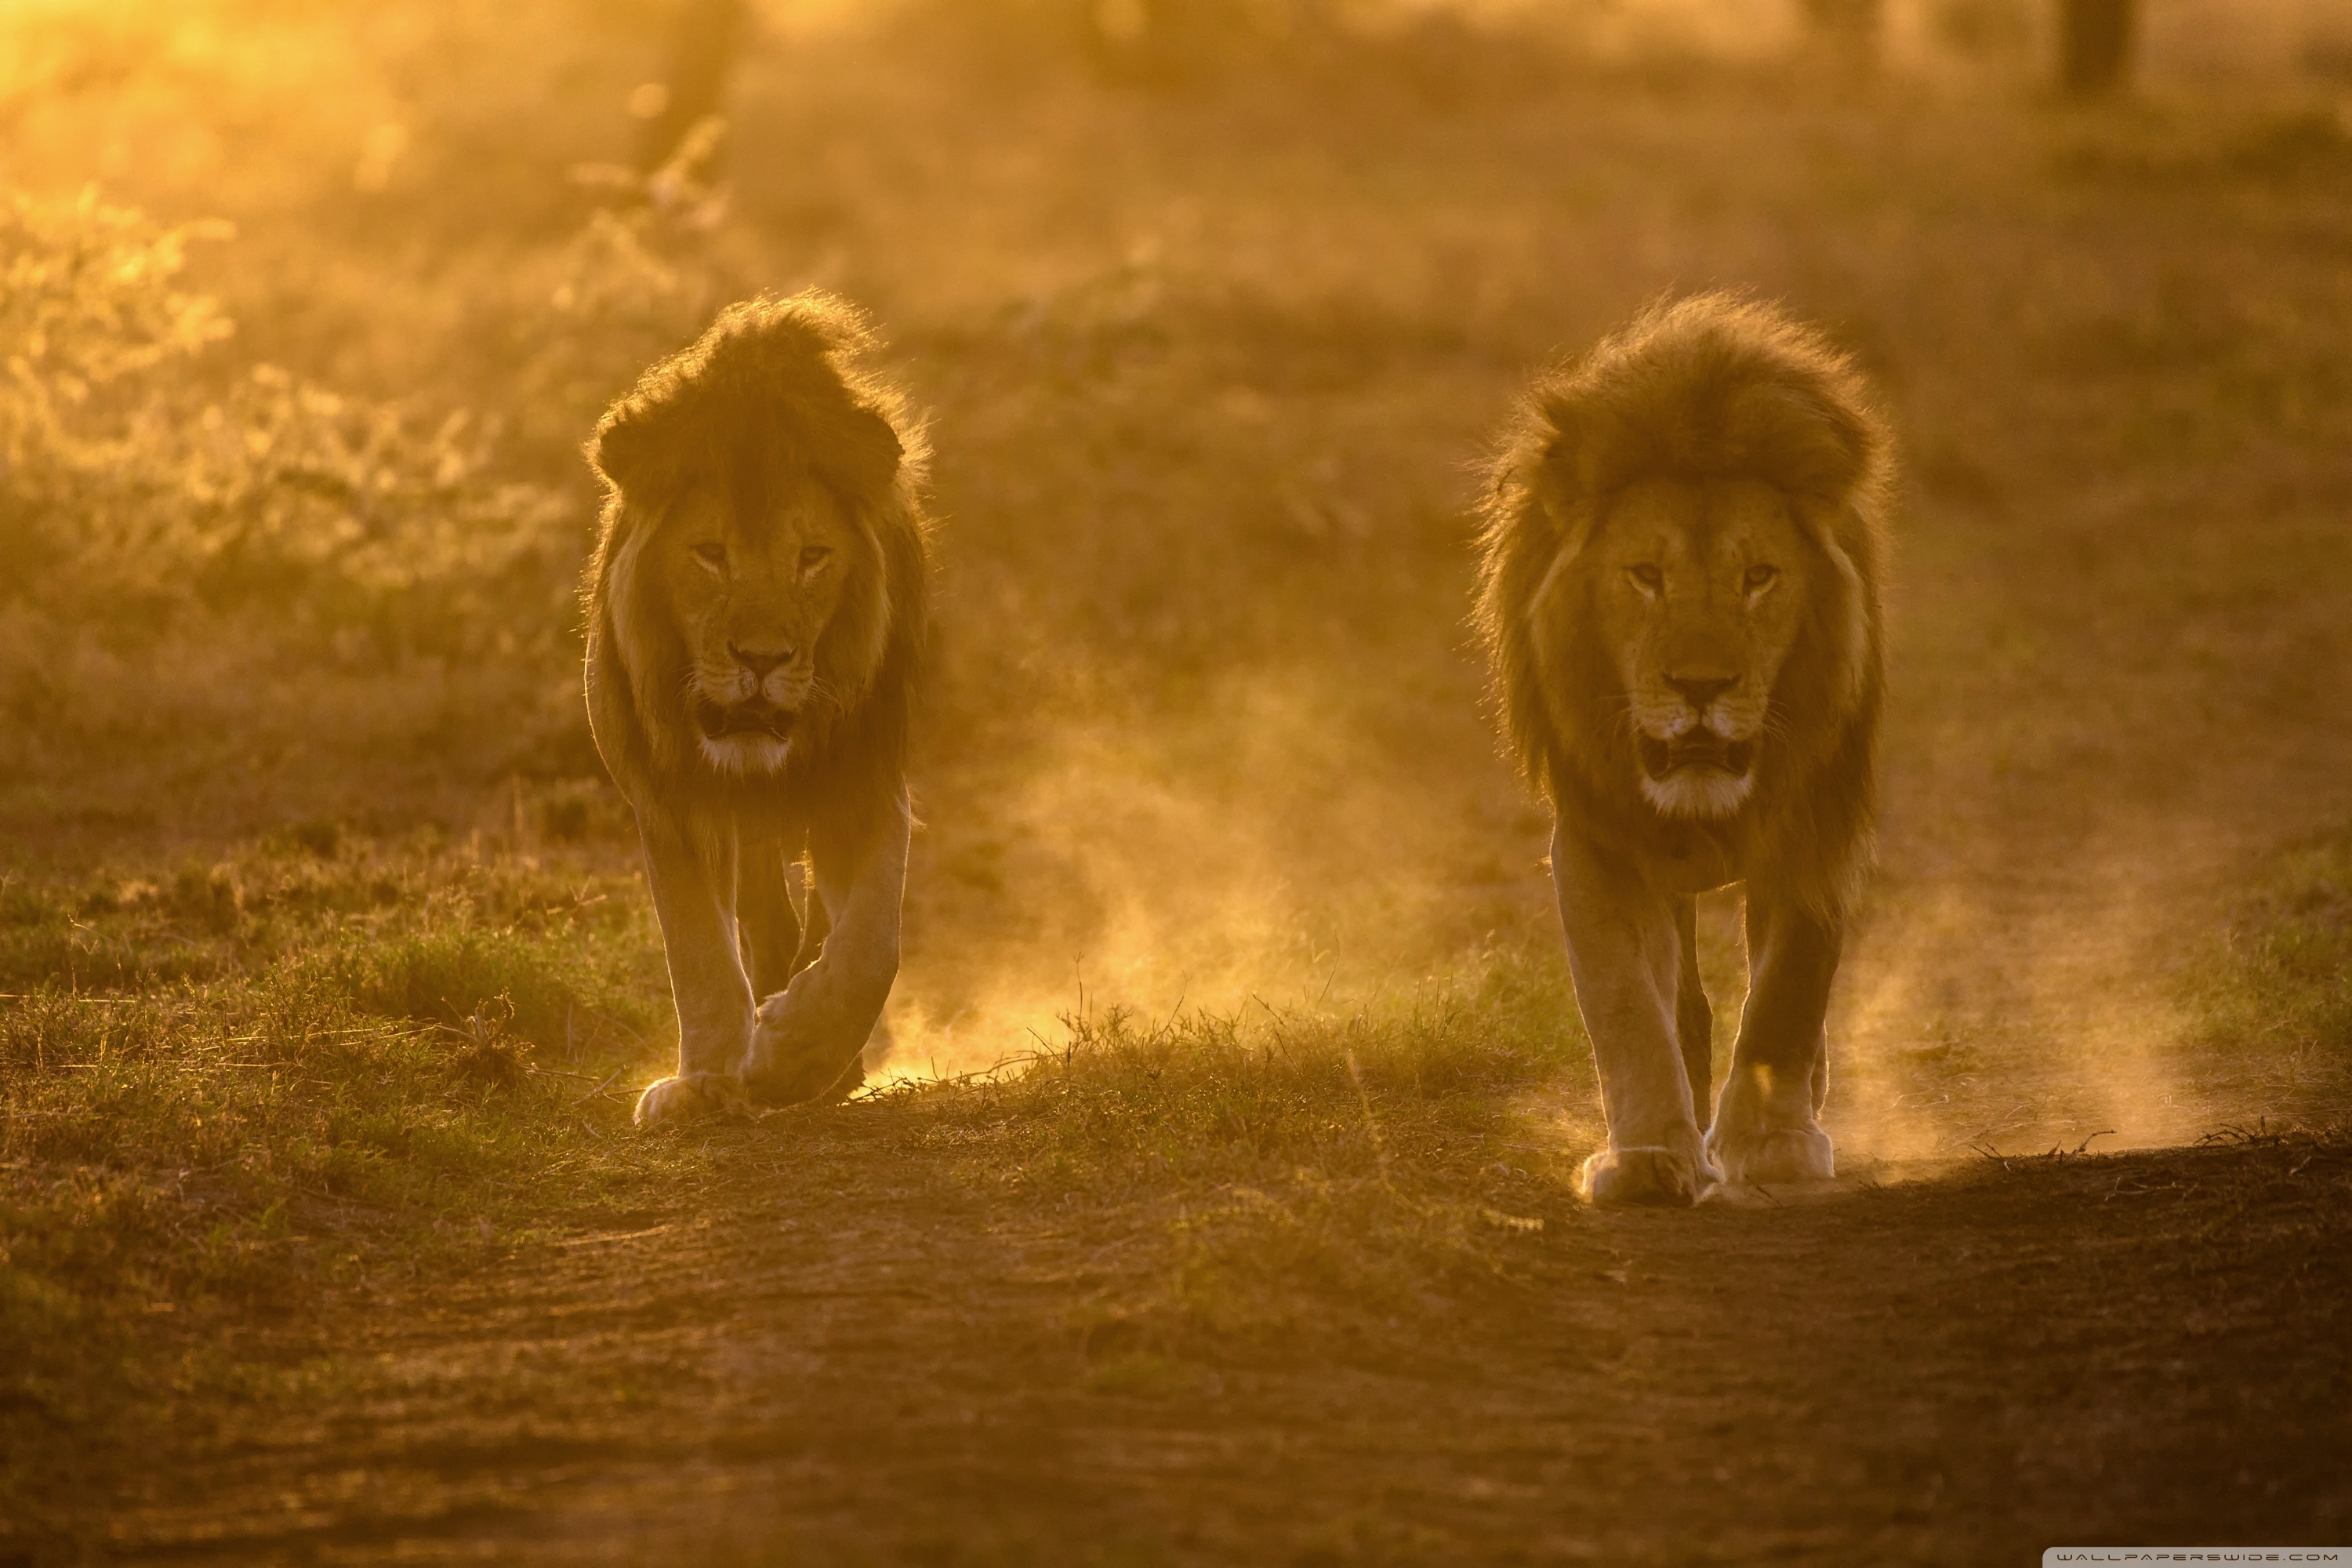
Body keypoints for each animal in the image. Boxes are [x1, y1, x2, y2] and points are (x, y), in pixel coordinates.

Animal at [582, 292, 932, 1127]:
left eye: (812, 558)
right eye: (709, 555)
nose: (762, 661)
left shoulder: (866, 781)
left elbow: (871, 947)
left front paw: (791, 1058)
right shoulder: (670, 798)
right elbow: (697, 948)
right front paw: (707, 1077)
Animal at [1474, 293, 1893, 1206]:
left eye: (1759, 577)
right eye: (1645, 575)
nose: (1701, 685)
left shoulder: (1816, 828)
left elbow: (1786, 996)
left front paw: (1772, 1140)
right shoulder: (1596, 843)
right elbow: (1627, 1008)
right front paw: (1645, 1155)